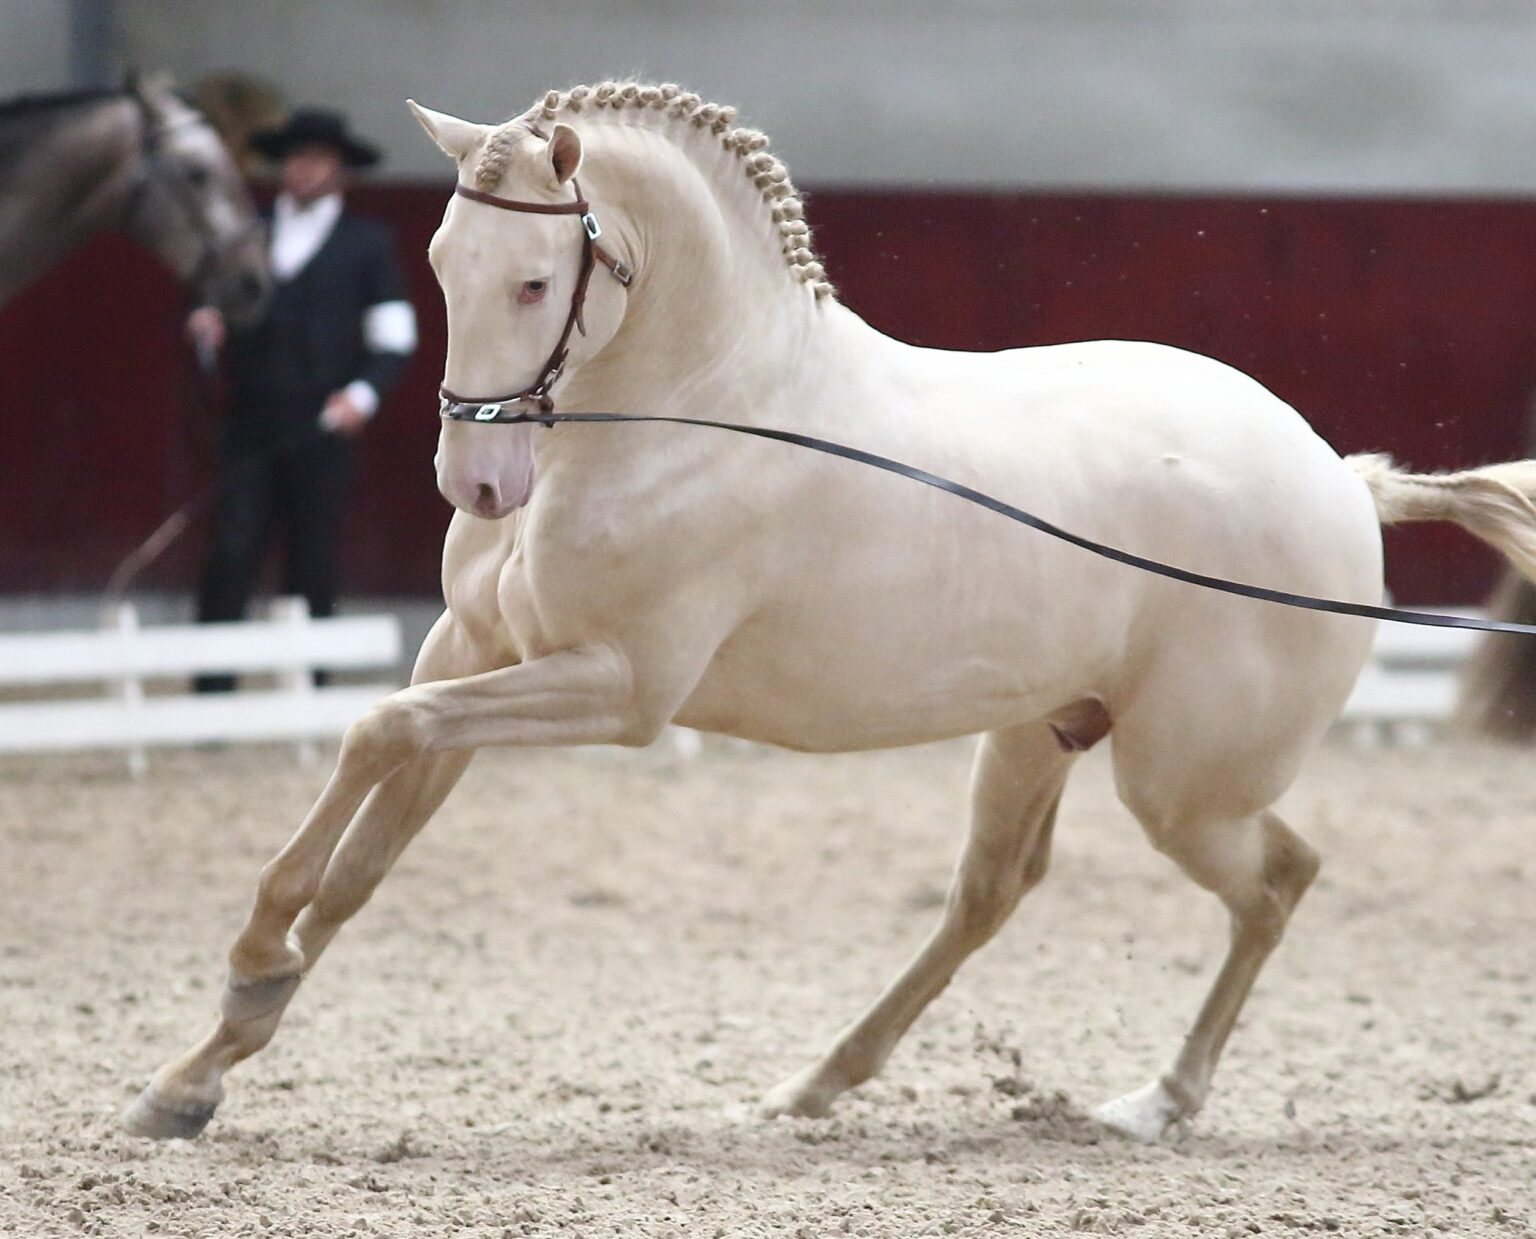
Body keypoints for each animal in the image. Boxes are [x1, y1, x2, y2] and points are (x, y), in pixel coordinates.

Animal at [123, 81, 1536, 1145]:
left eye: (534, 281)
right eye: (438, 263)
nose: (477, 481)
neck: (693, 407)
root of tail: (1343, 479)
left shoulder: (615, 689)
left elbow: (372, 736)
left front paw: (251, 969)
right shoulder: (474, 652)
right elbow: (367, 839)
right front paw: (199, 1070)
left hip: (1181, 786)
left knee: (1276, 881)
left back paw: (1155, 1103)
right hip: (1039, 733)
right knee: (991, 895)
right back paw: (813, 1086)